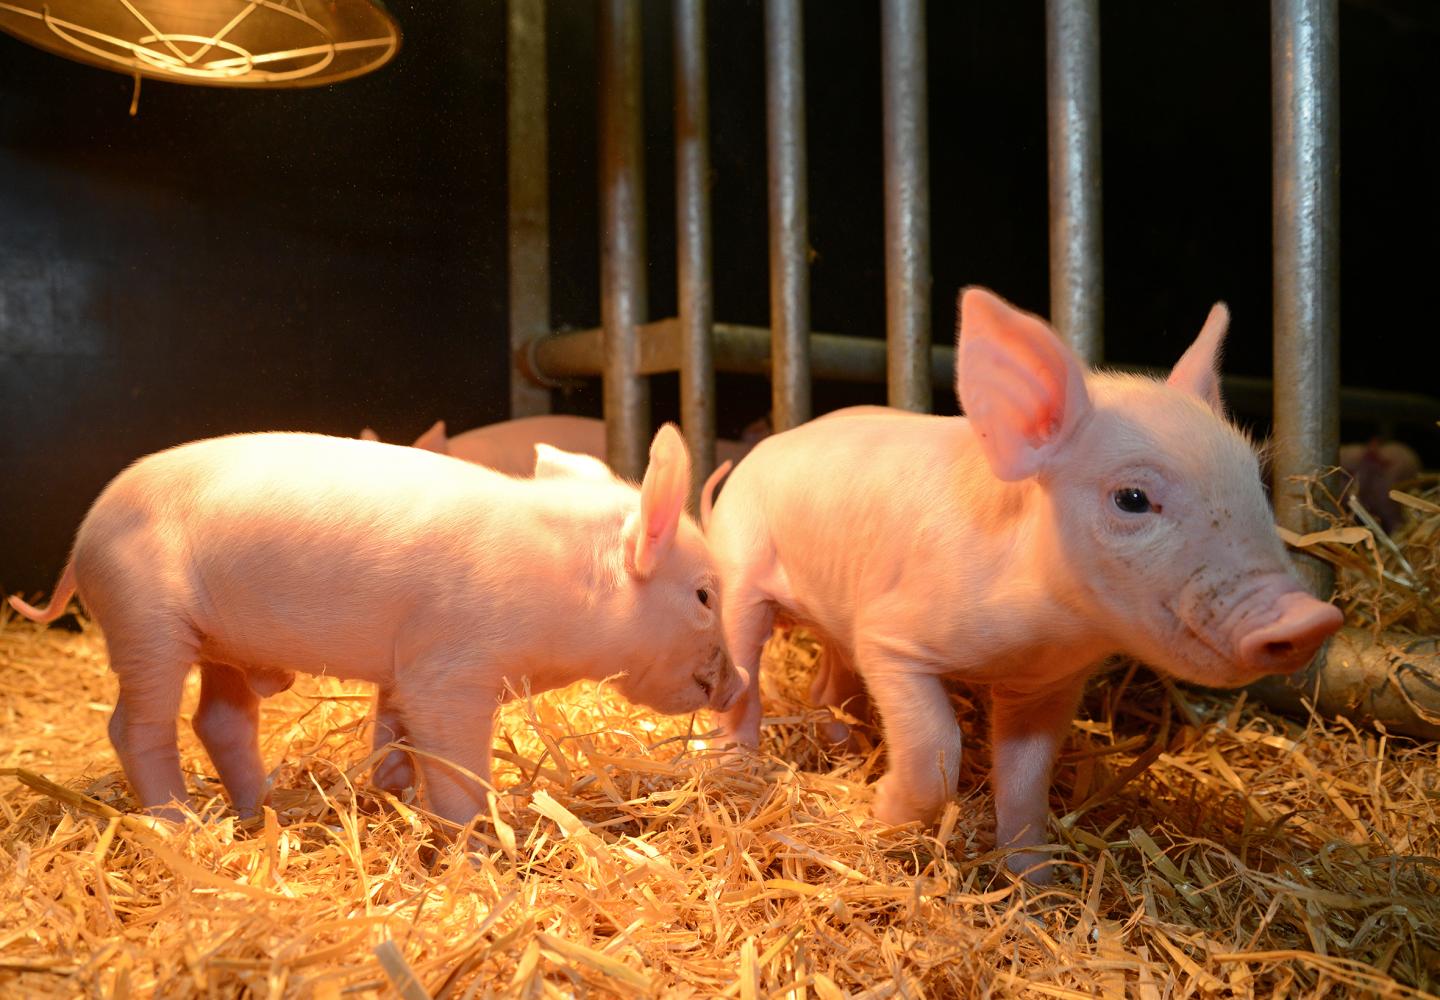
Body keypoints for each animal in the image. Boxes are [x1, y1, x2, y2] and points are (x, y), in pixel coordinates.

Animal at [9, 426, 742, 826]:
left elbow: (393, 733)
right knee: (137, 726)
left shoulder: (407, 661)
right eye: (705, 595)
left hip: (223, 644)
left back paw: (263, 808)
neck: (562, 584)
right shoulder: (452, 671)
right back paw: (181, 823)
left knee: (217, 719)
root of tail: (81, 542)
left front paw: (392, 795)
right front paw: (481, 842)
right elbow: (456, 767)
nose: (735, 685)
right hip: (146, 621)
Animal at [702, 287, 1344, 881]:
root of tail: (764, 448)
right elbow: (938, 742)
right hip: (738, 571)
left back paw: (847, 746)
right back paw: (737, 764)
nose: (1311, 619)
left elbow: (1028, 778)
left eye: (1255, 484)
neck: (1047, 628)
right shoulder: (892, 640)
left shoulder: (1048, 683)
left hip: (834, 615)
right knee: (743, 675)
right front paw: (882, 812)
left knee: (824, 686)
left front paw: (1036, 882)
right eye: (1133, 498)